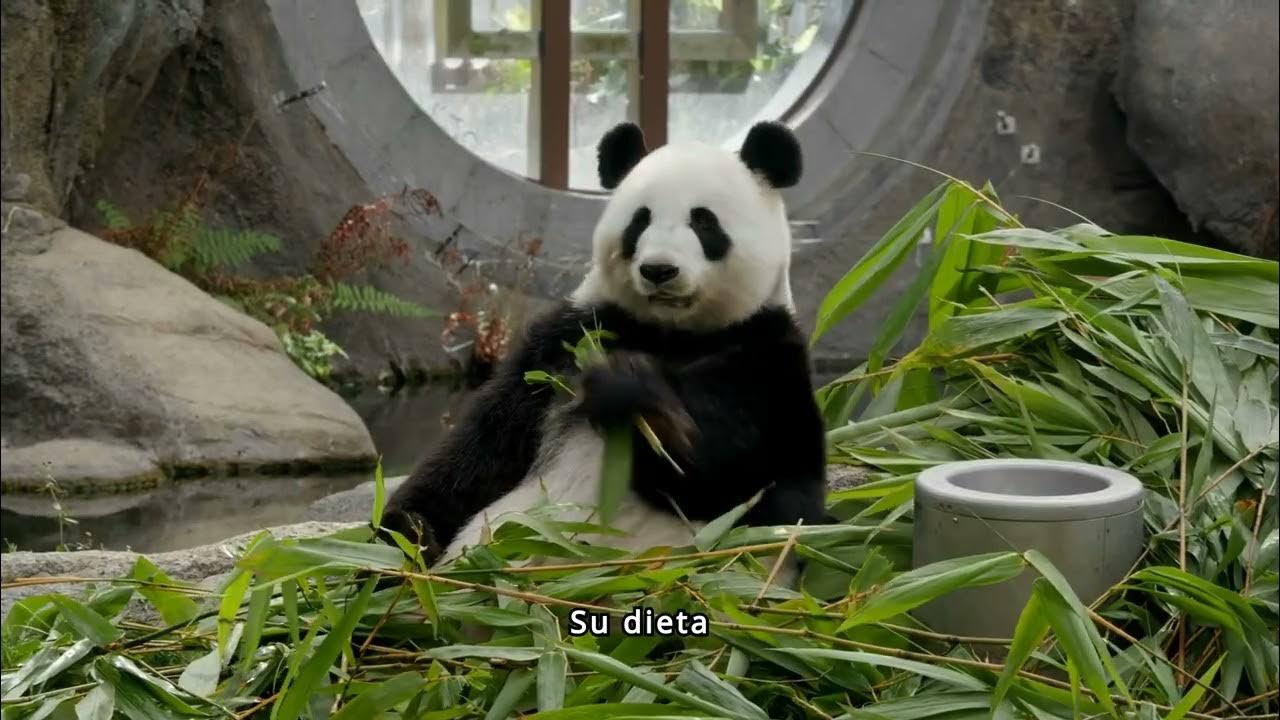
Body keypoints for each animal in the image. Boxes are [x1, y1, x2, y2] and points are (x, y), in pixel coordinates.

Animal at [381, 120, 828, 567]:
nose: (659, 270)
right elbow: (482, 448)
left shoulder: (767, 355)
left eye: (704, 222)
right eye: (640, 221)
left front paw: (632, 395)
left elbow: (747, 479)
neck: (669, 332)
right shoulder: (566, 340)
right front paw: (408, 529)